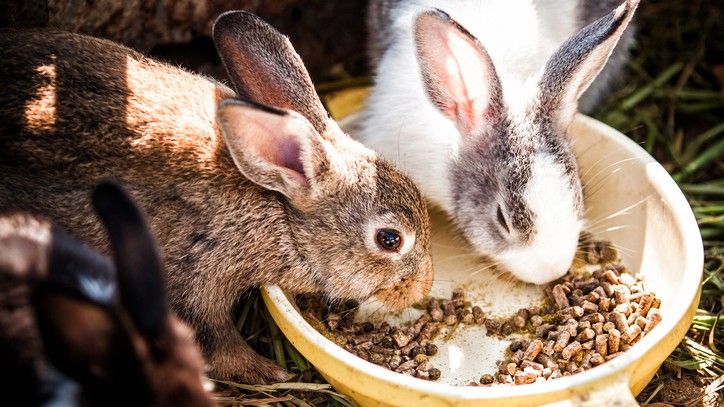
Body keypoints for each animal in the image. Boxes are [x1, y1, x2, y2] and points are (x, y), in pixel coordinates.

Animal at [0, 10, 433, 384]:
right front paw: (267, 371)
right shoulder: (193, 281)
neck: (279, 209)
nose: (424, 286)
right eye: (389, 239)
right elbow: (215, 341)